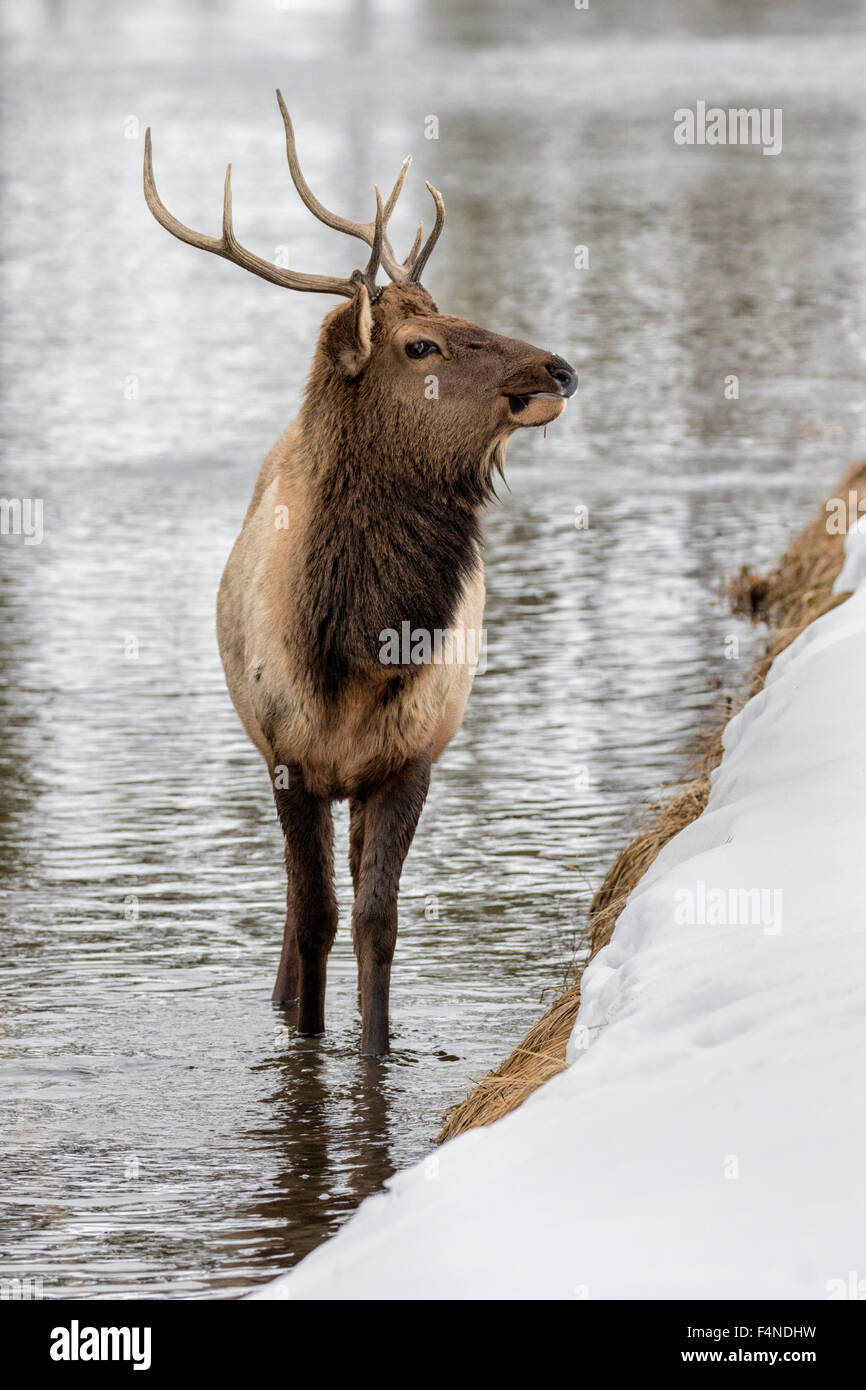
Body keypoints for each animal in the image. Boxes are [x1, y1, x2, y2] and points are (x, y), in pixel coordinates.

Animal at [143, 93, 577, 1055]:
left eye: (454, 314)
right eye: (420, 346)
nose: (559, 367)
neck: (355, 653)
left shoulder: (412, 753)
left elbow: (379, 920)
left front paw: (374, 1050)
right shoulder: (288, 755)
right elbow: (317, 918)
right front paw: (305, 1034)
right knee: (293, 898)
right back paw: (280, 997)